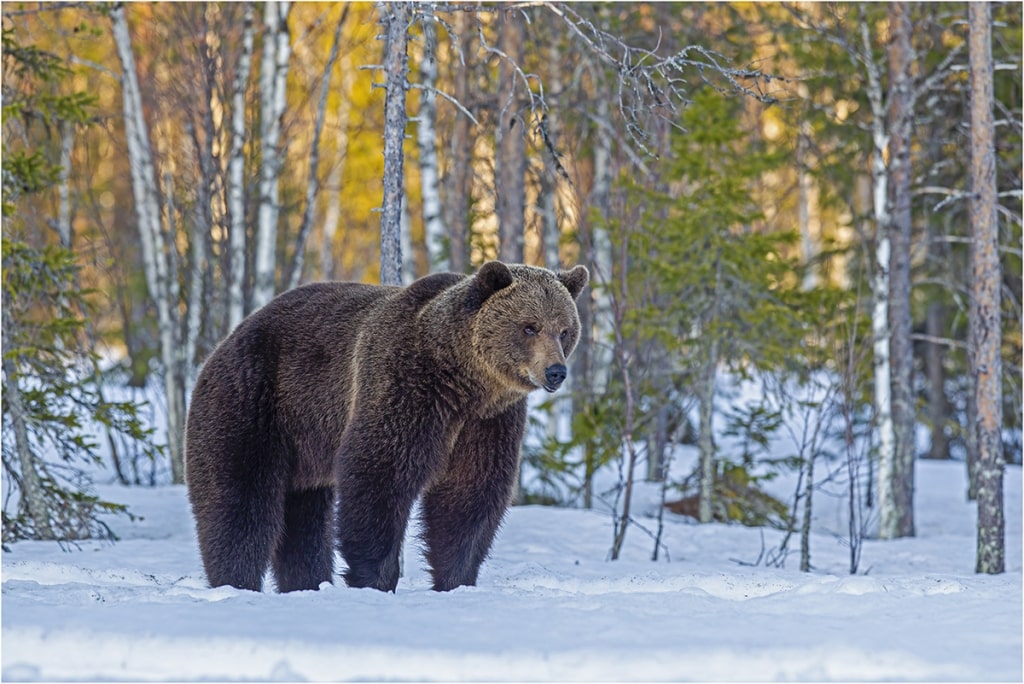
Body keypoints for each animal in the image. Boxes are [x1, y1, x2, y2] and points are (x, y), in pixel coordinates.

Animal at [185, 260, 589, 593]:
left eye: (565, 330)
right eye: (529, 327)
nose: (556, 371)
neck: (463, 382)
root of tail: (223, 343)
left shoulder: (487, 423)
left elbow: (470, 493)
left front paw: (456, 579)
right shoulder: (403, 386)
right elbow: (379, 474)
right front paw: (375, 578)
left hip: (305, 447)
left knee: (304, 518)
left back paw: (307, 583)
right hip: (255, 402)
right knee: (240, 500)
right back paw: (236, 581)